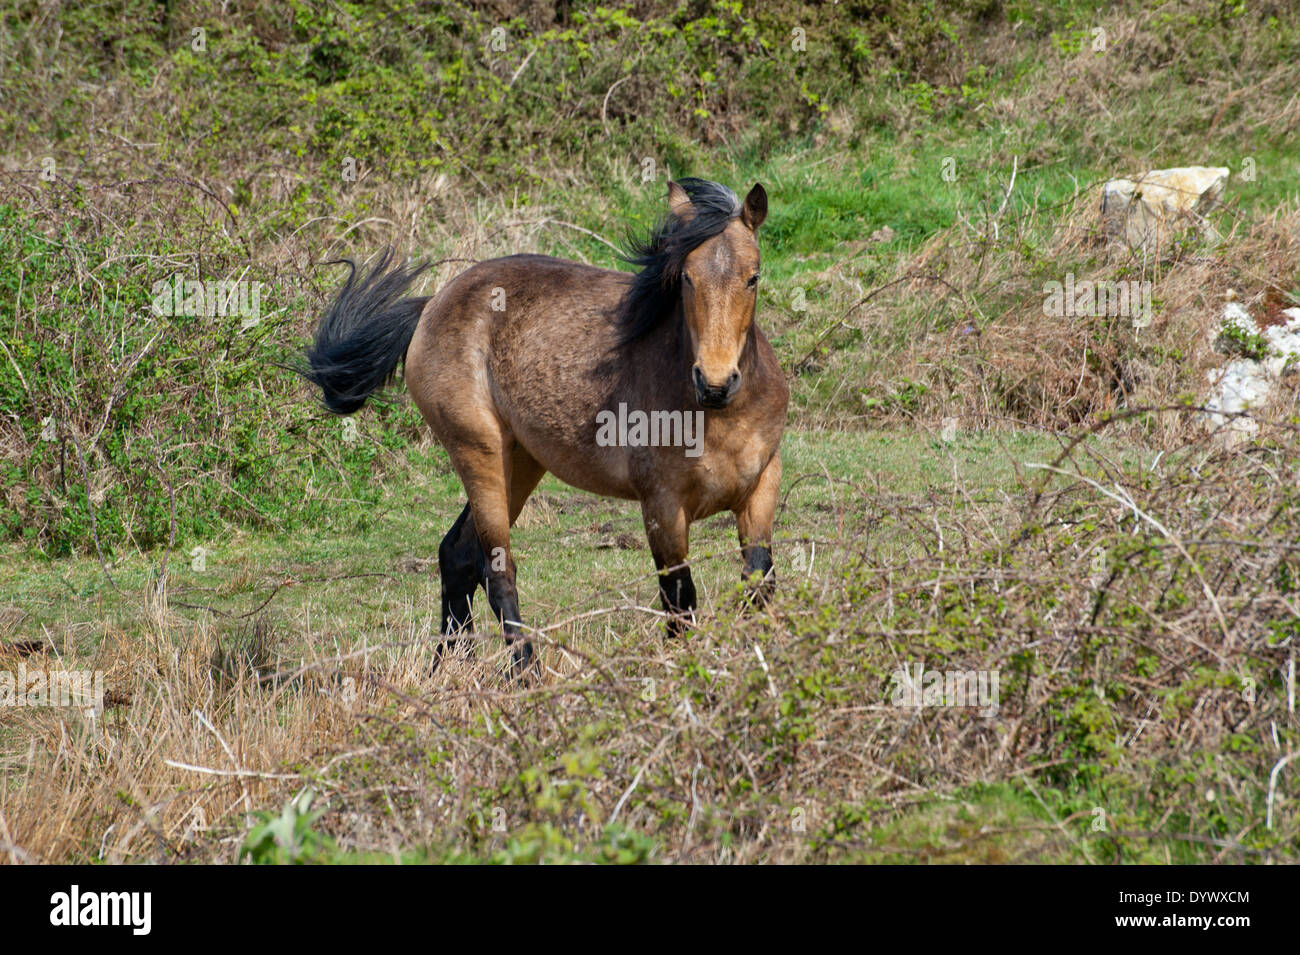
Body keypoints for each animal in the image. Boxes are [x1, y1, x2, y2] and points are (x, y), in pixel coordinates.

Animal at [300, 178, 788, 672]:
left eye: (753, 276)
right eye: (686, 277)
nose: (715, 382)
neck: (718, 418)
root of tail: (432, 304)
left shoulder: (761, 488)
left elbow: (758, 582)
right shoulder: (663, 507)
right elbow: (680, 600)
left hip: (521, 462)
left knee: (457, 555)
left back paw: (449, 669)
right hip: (479, 453)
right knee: (497, 571)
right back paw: (526, 674)